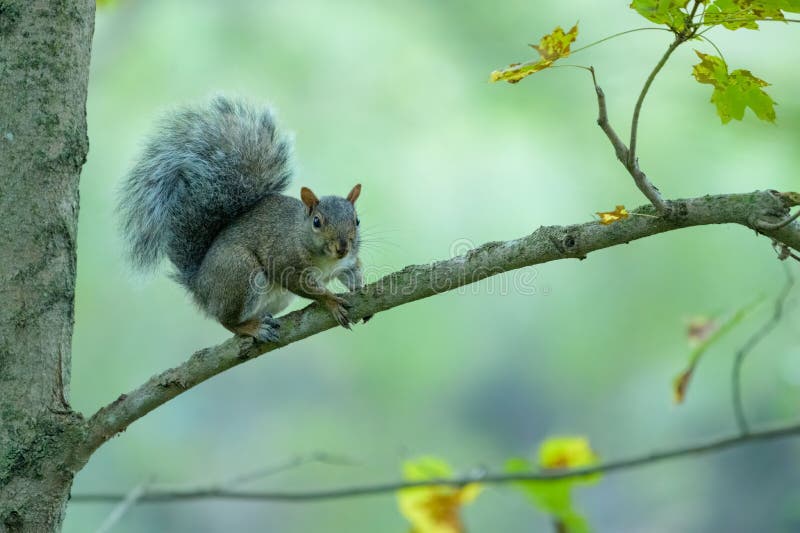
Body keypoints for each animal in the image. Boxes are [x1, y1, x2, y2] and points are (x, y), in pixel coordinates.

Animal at [118, 95, 364, 342]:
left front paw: (360, 287)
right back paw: (252, 328)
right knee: (226, 320)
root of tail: (199, 287)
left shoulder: (347, 261)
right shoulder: (285, 260)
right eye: (317, 222)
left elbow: (353, 270)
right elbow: (306, 287)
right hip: (241, 273)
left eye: (357, 221)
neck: (327, 260)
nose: (342, 247)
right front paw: (332, 302)